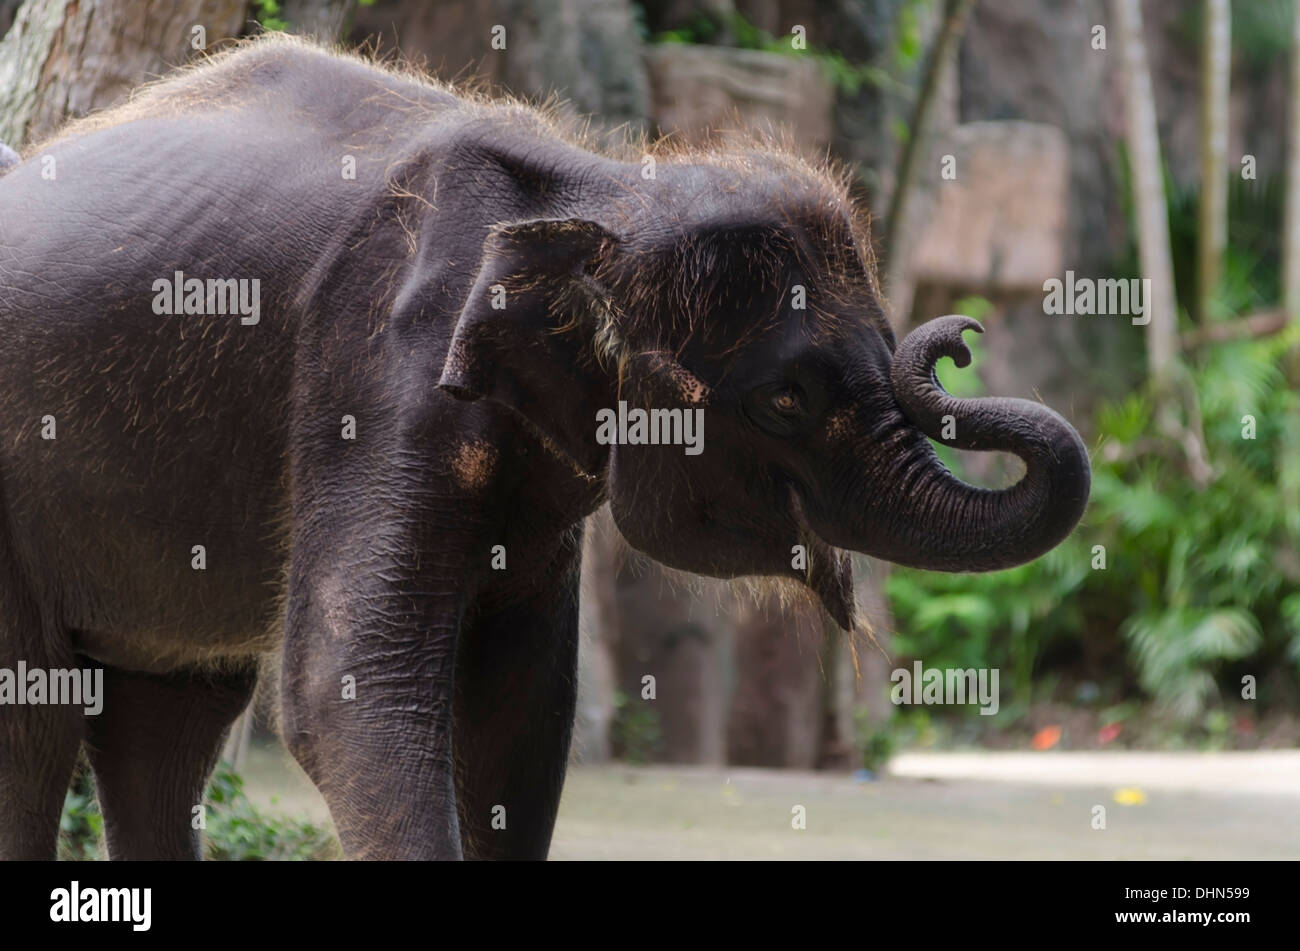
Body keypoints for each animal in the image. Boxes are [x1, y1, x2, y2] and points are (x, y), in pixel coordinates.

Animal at [0, 35, 1090, 860]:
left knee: (167, 719)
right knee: (36, 723)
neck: (604, 186)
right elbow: (348, 689)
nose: (956, 338)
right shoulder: (375, 373)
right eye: (786, 398)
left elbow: (521, 708)